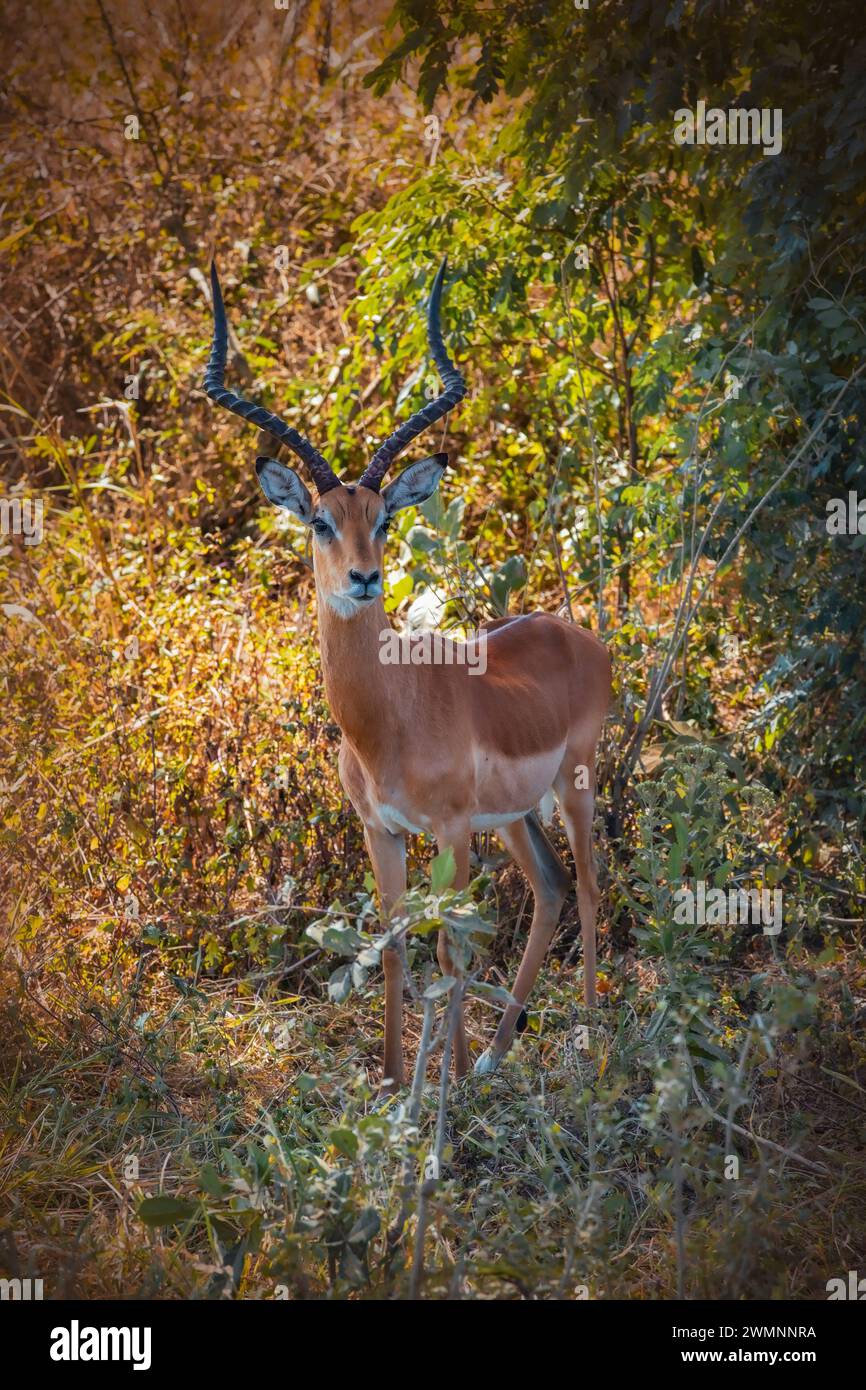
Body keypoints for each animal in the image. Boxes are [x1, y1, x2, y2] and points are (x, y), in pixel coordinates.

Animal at [204, 258, 611, 1089]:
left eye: (385, 517)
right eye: (320, 519)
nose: (364, 578)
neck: (384, 720)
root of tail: (577, 637)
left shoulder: (449, 832)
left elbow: (450, 951)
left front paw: (440, 1086)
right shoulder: (383, 832)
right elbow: (394, 950)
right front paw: (398, 1080)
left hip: (573, 784)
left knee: (587, 888)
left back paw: (584, 1039)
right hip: (515, 815)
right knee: (552, 889)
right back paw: (493, 1054)